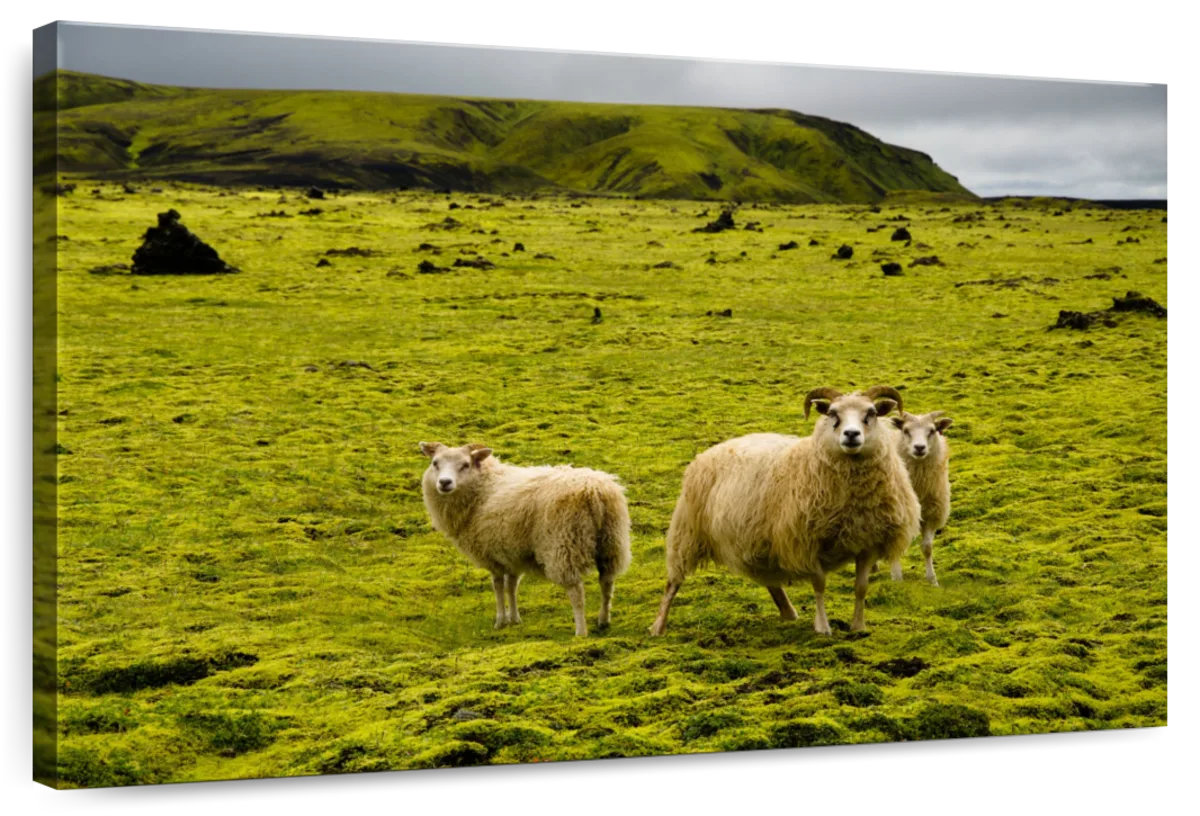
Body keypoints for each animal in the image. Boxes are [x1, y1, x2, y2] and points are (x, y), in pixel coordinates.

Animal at [418, 442, 632, 636]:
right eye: (435, 463)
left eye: (465, 464)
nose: (444, 482)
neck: (484, 487)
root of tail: (594, 492)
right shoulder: (512, 553)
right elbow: (512, 586)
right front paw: (514, 619)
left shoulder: (492, 555)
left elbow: (498, 586)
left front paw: (501, 621)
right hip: (611, 542)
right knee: (607, 582)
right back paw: (604, 620)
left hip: (564, 544)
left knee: (576, 591)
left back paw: (581, 631)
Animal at [648, 386, 921, 636]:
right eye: (832, 414)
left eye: (871, 413)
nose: (851, 435)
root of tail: (710, 451)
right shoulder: (806, 543)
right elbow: (819, 585)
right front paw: (823, 628)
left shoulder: (868, 543)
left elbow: (861, 588)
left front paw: (858, 627)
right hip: (688, 531)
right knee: (673, 582)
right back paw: (658, 627)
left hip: (755, 540)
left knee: (768, 578)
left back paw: (788, 612)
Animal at [888, 411, 953, 586]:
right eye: (906, 431)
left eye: (932, 430)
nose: (919, 447)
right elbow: (895, 548)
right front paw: (897, 580)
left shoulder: (931, 514)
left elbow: (927, 548)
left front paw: (933, 580)